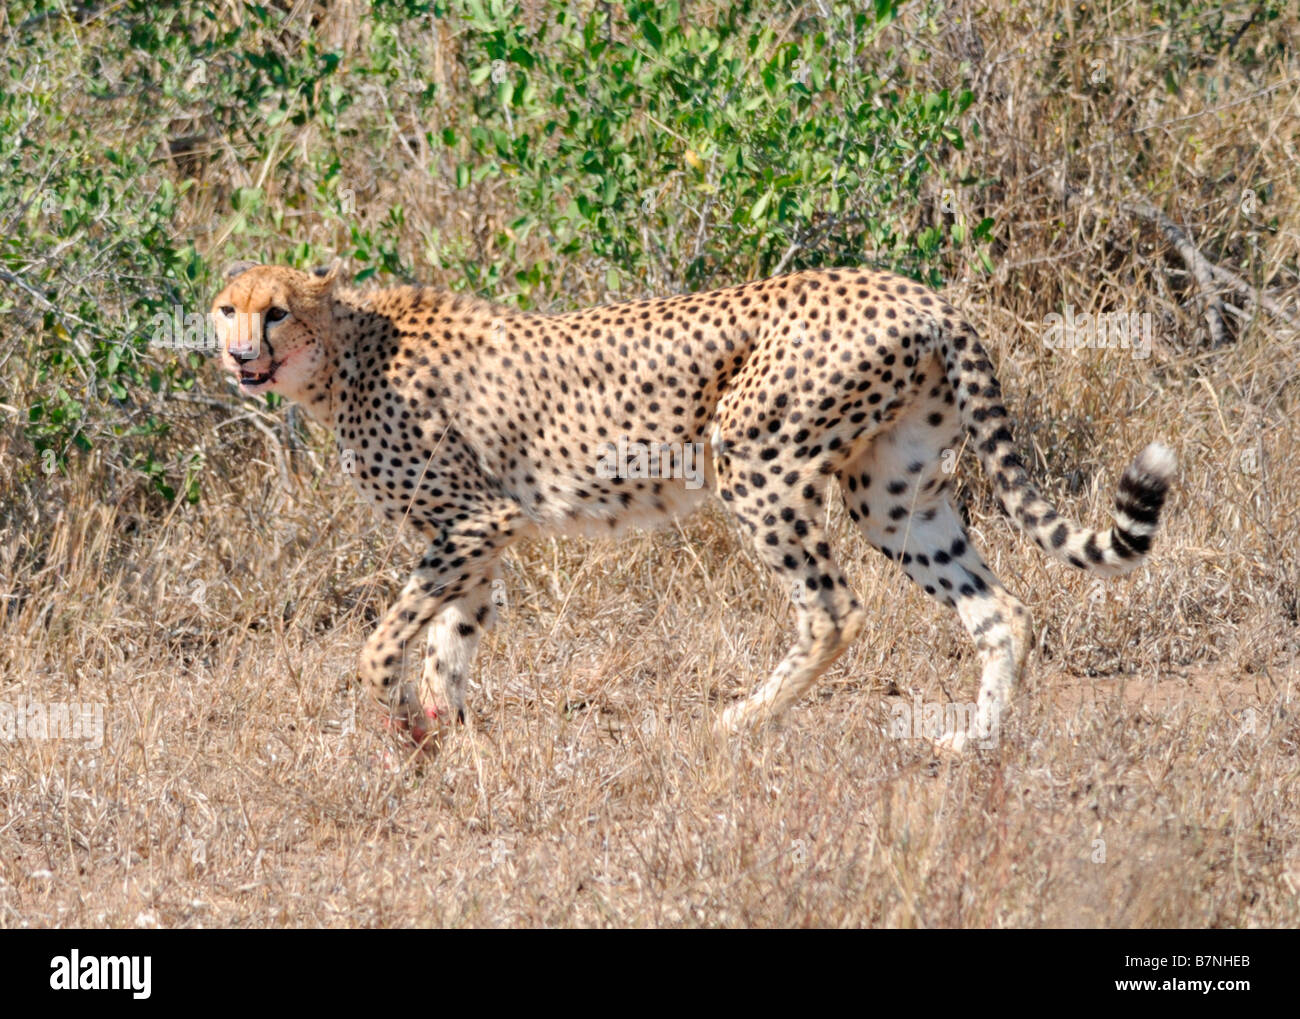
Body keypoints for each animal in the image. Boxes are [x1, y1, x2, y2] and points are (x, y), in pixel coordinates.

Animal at [210, 260, 1174, 751]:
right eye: (227, 309)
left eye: (277, 312)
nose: (239, 353)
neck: (341, 357)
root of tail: (917, 290)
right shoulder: (479, 537)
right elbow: (451, 641)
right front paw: (454, 740)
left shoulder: (475, 521)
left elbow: (380, 643)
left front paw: (408, 728)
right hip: (892, 492)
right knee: (1000, 607)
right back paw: (974, 743)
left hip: (757, 459)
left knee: (834, 608)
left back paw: (740, 720)